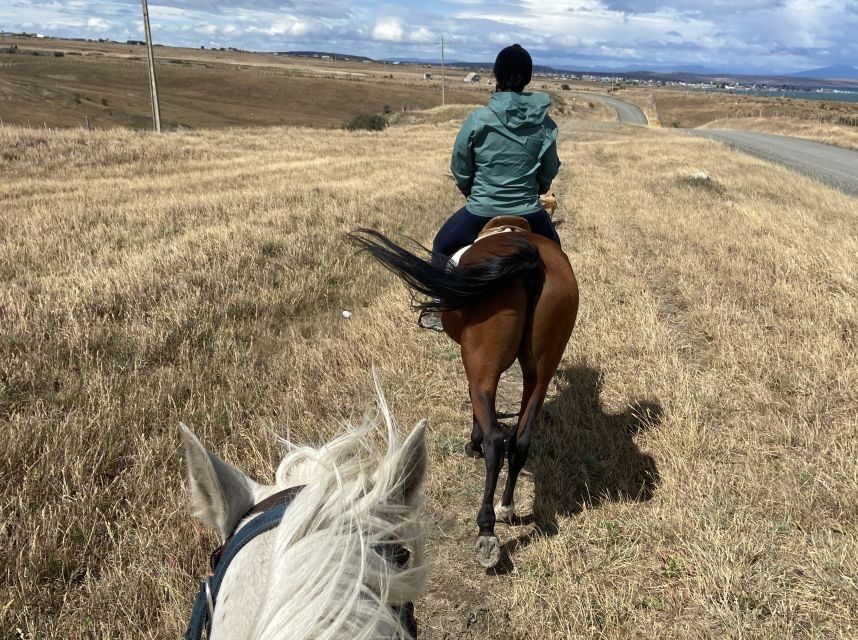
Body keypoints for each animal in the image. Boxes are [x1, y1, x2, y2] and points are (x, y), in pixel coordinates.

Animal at [349, 216, 579, 569]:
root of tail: (532, 263)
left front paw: (473, 443)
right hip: (542, 368)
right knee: (521, 439)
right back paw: (507, 508)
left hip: (482, 362)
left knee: (496, 440)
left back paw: (486, 530)